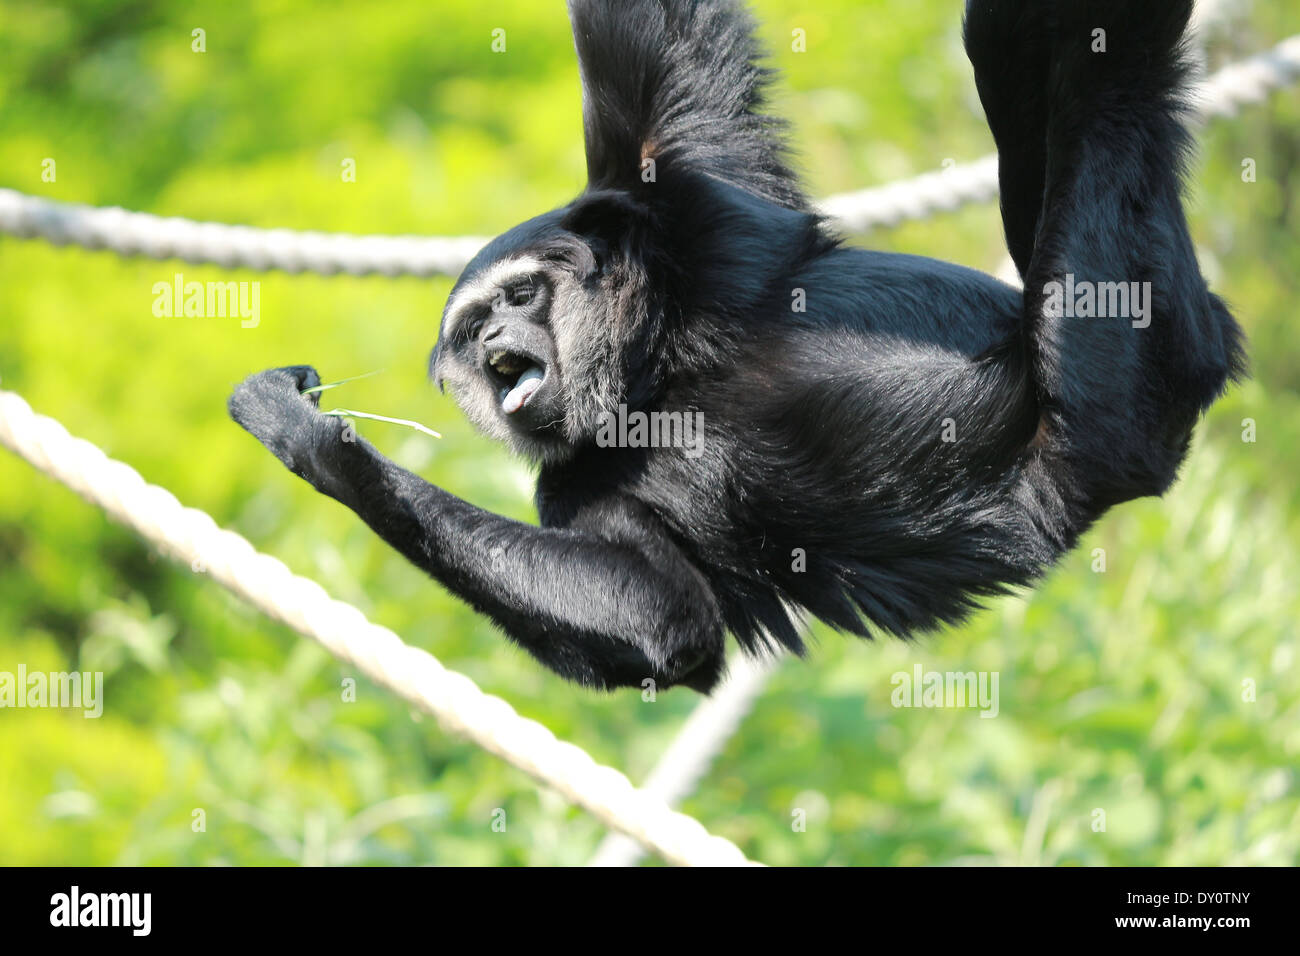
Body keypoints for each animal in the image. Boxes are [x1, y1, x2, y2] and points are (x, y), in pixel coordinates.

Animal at [229, 0, 1245, 694]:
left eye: (519, 296)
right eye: (474, 332)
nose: (502, 345)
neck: (652, 375)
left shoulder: (682, 191)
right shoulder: (574, 479)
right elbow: (660, 618)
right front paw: (314, 441)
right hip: (1118, 376)